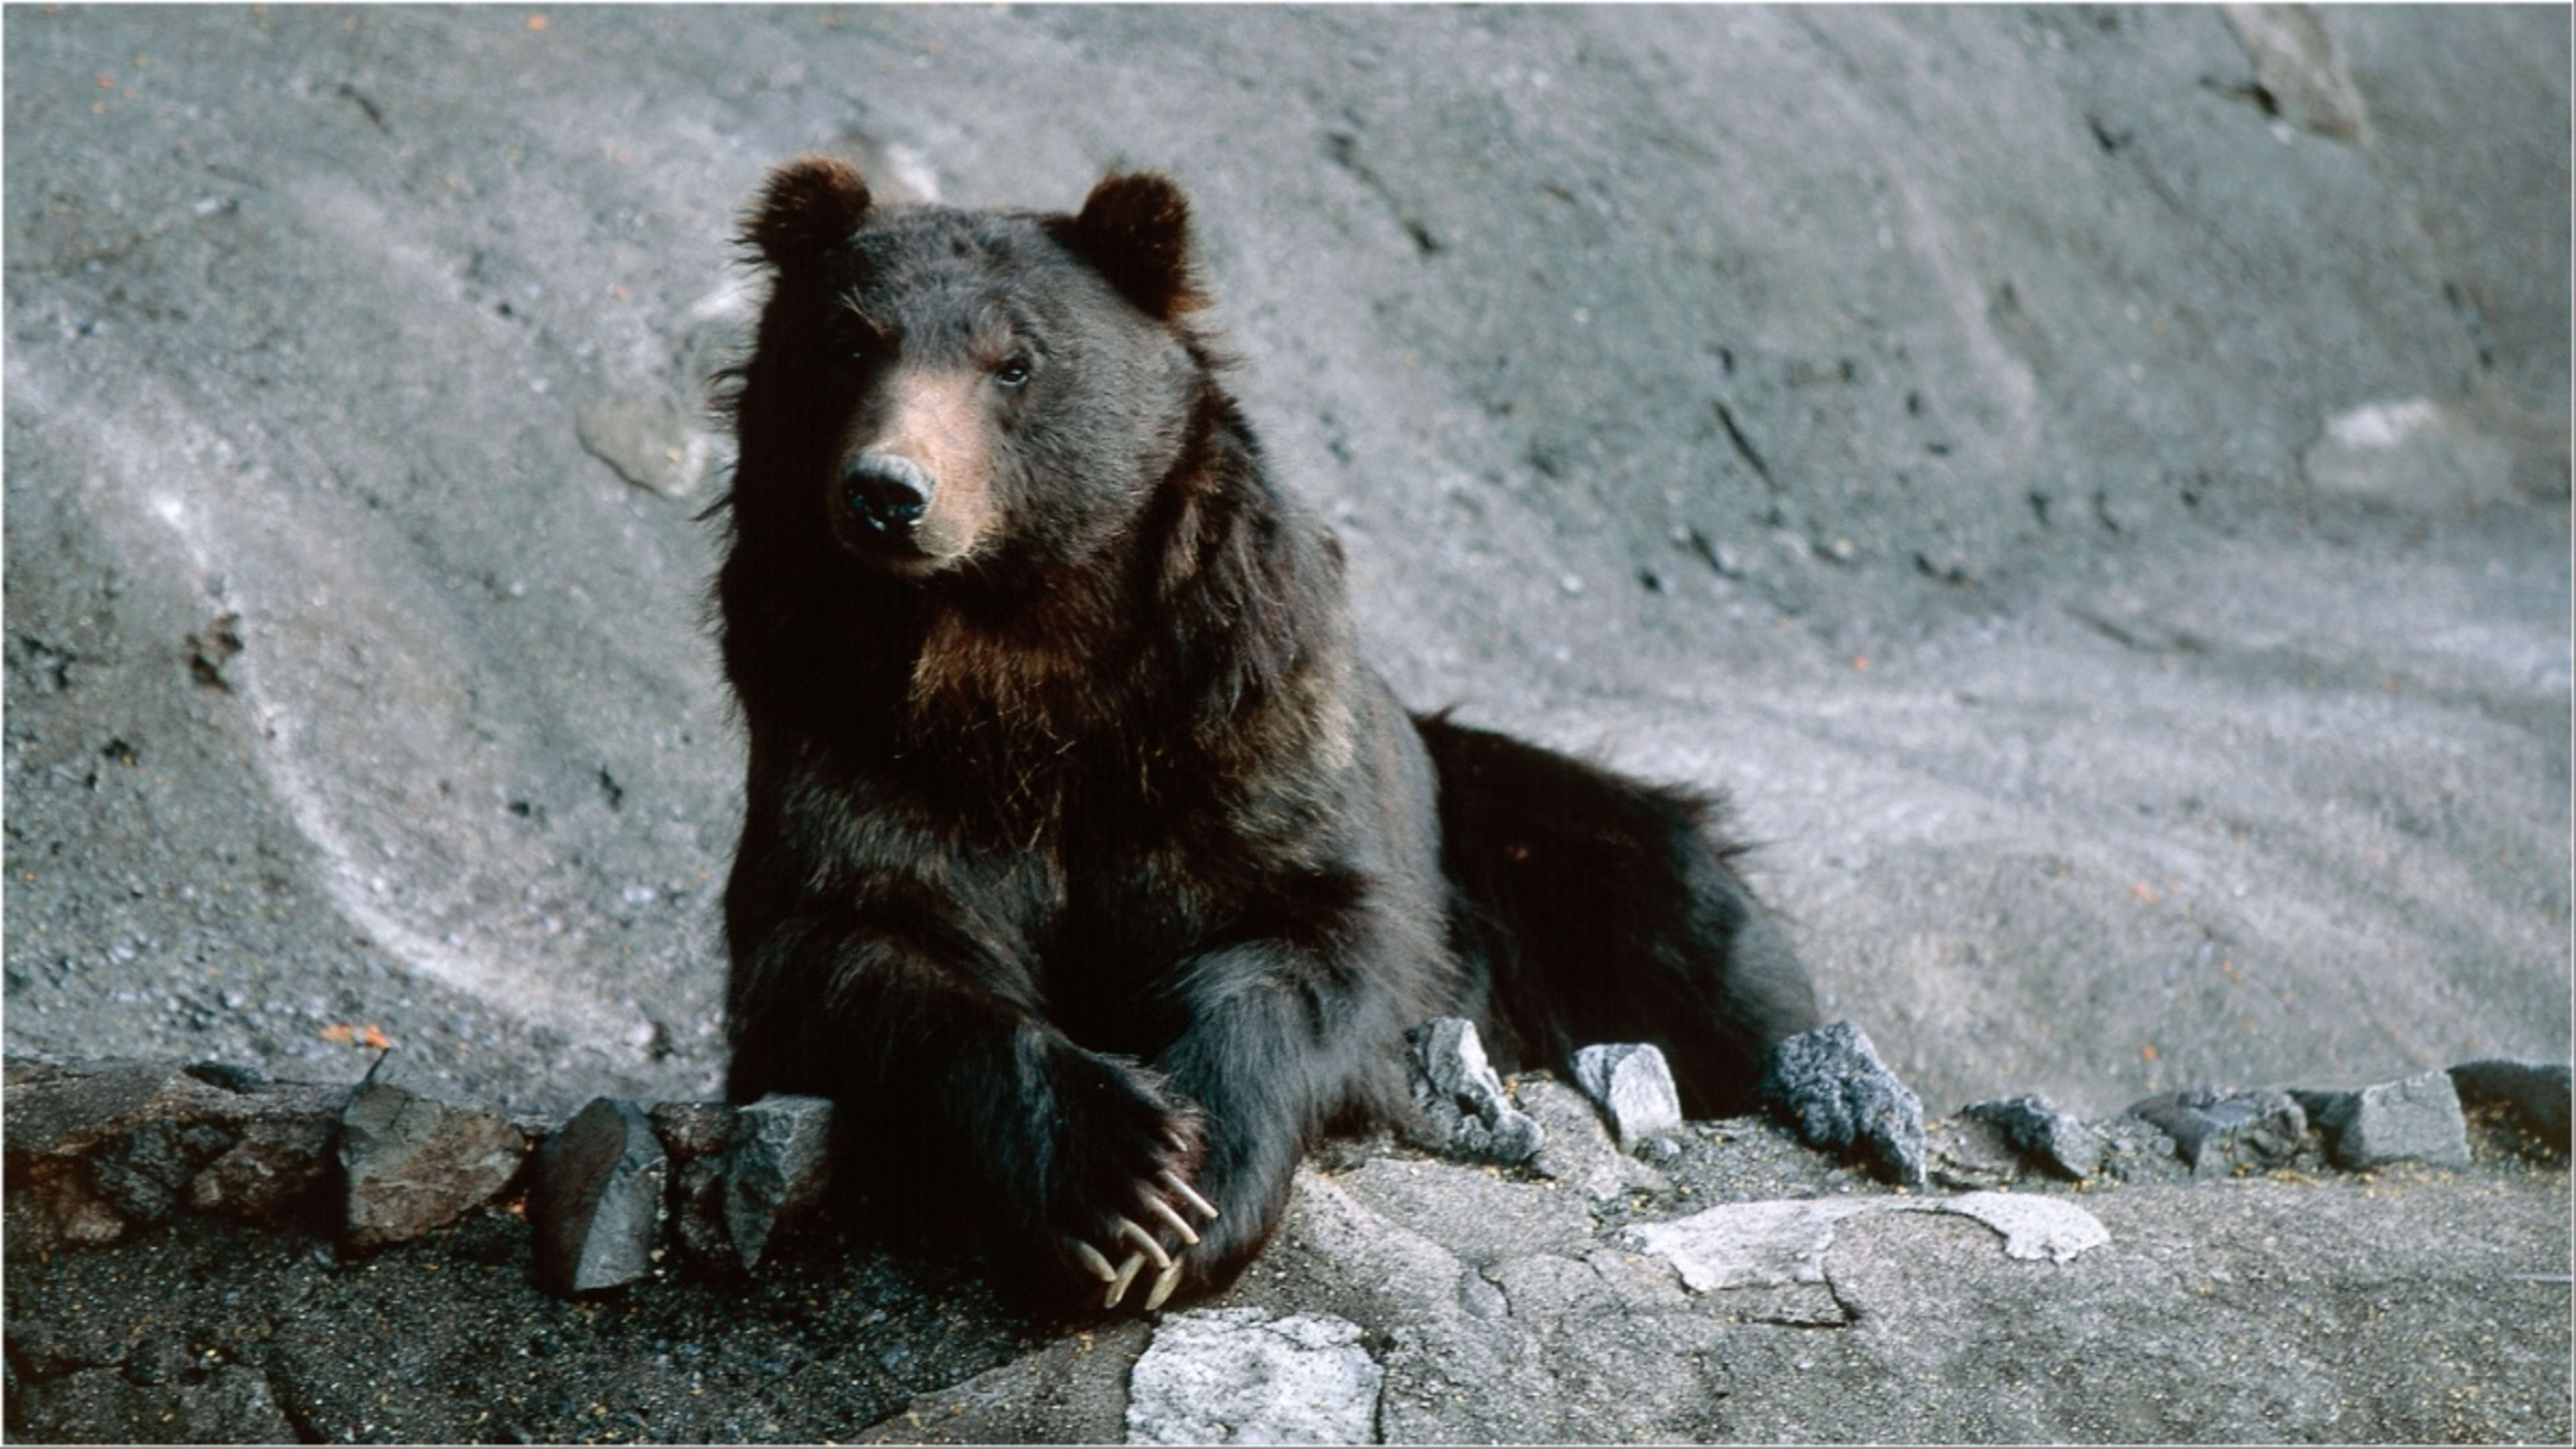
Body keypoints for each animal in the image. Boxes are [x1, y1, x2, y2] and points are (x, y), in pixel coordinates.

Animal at [710, 156, 1919, 1315]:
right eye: (848, 341)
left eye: (1014, 362)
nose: (887, 491)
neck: (1017, 652)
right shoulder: (851, 734)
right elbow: (860, 941)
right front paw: (1114, 1180)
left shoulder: (1237, 723)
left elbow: (1312, 935)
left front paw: (1192, 1199)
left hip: (1553, 854)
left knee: (1697, 942)